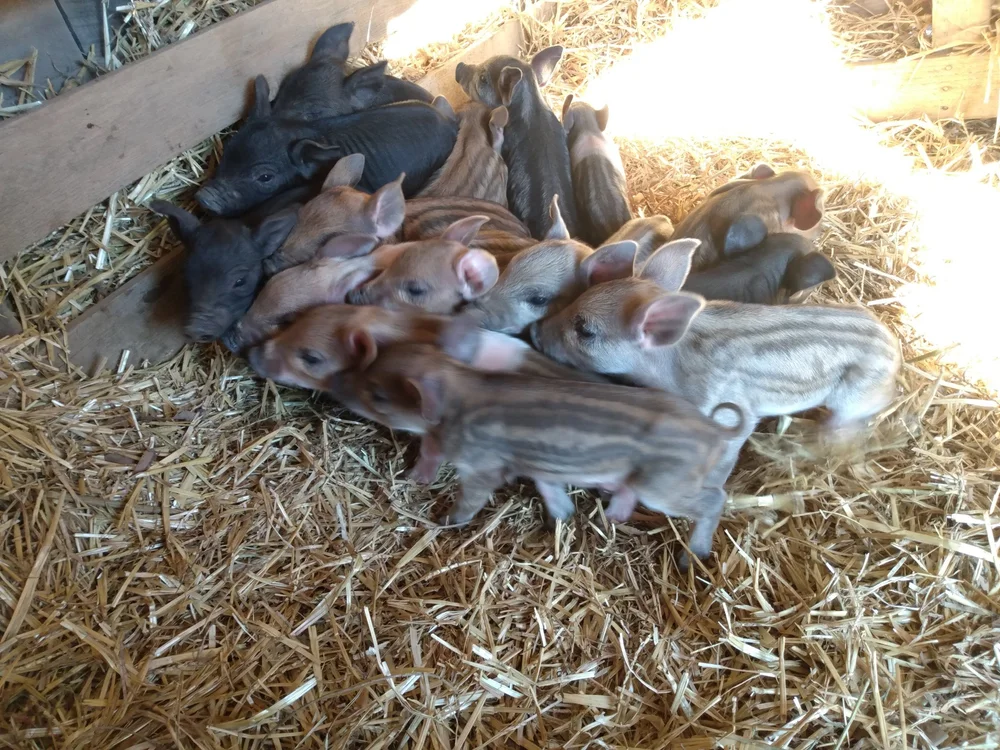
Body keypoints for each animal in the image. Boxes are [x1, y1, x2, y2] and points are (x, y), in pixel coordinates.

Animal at [327, 341, 744, 568]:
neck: (457, 397)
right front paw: (561, 519)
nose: (337, 385)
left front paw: (444, 521)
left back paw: (694, 556)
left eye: (379, 394)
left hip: (665, 484)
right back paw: (610, 518)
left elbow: (470, 499)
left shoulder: (482, 467)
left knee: (714, 499)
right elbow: (550, 491)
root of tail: (713, 429)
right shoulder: (537, 467)